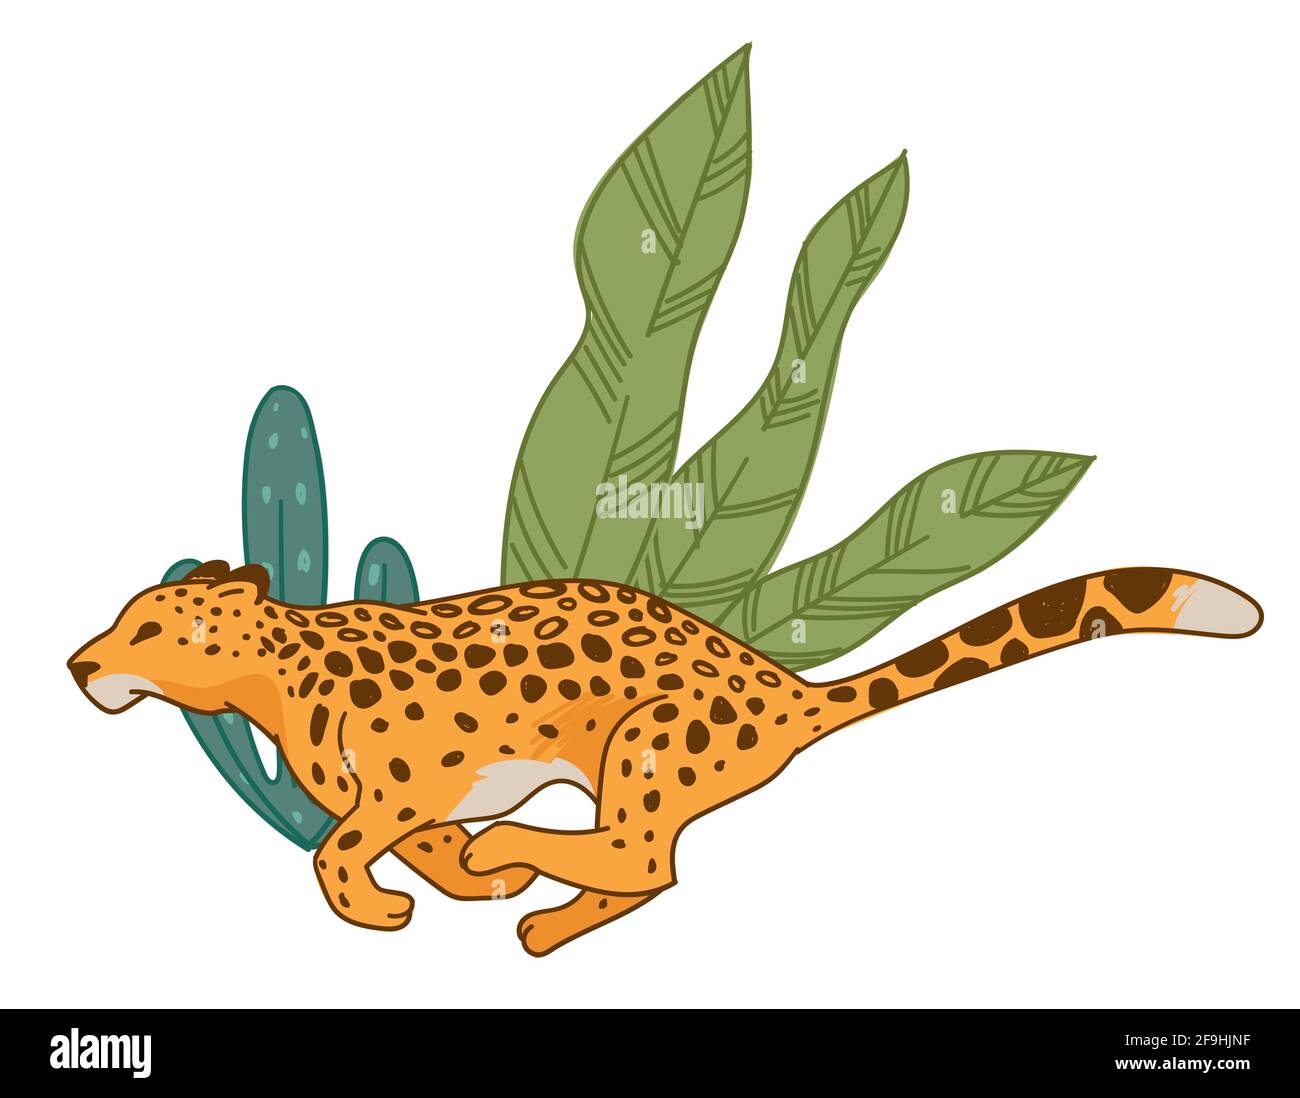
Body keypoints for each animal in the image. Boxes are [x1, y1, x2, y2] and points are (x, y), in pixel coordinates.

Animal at [69, 560, 1261, 955]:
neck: (270, 682)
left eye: (147, 628)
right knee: (647, 869)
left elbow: (336, 850)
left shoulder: (406, 788)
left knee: (645, 856)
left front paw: (389, 903)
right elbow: (419, 849)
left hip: (642, 743)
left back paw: (527, 858)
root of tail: (777, 686)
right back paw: (542, 915)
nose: (80, 666)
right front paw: (462, 887)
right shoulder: (422, 801)